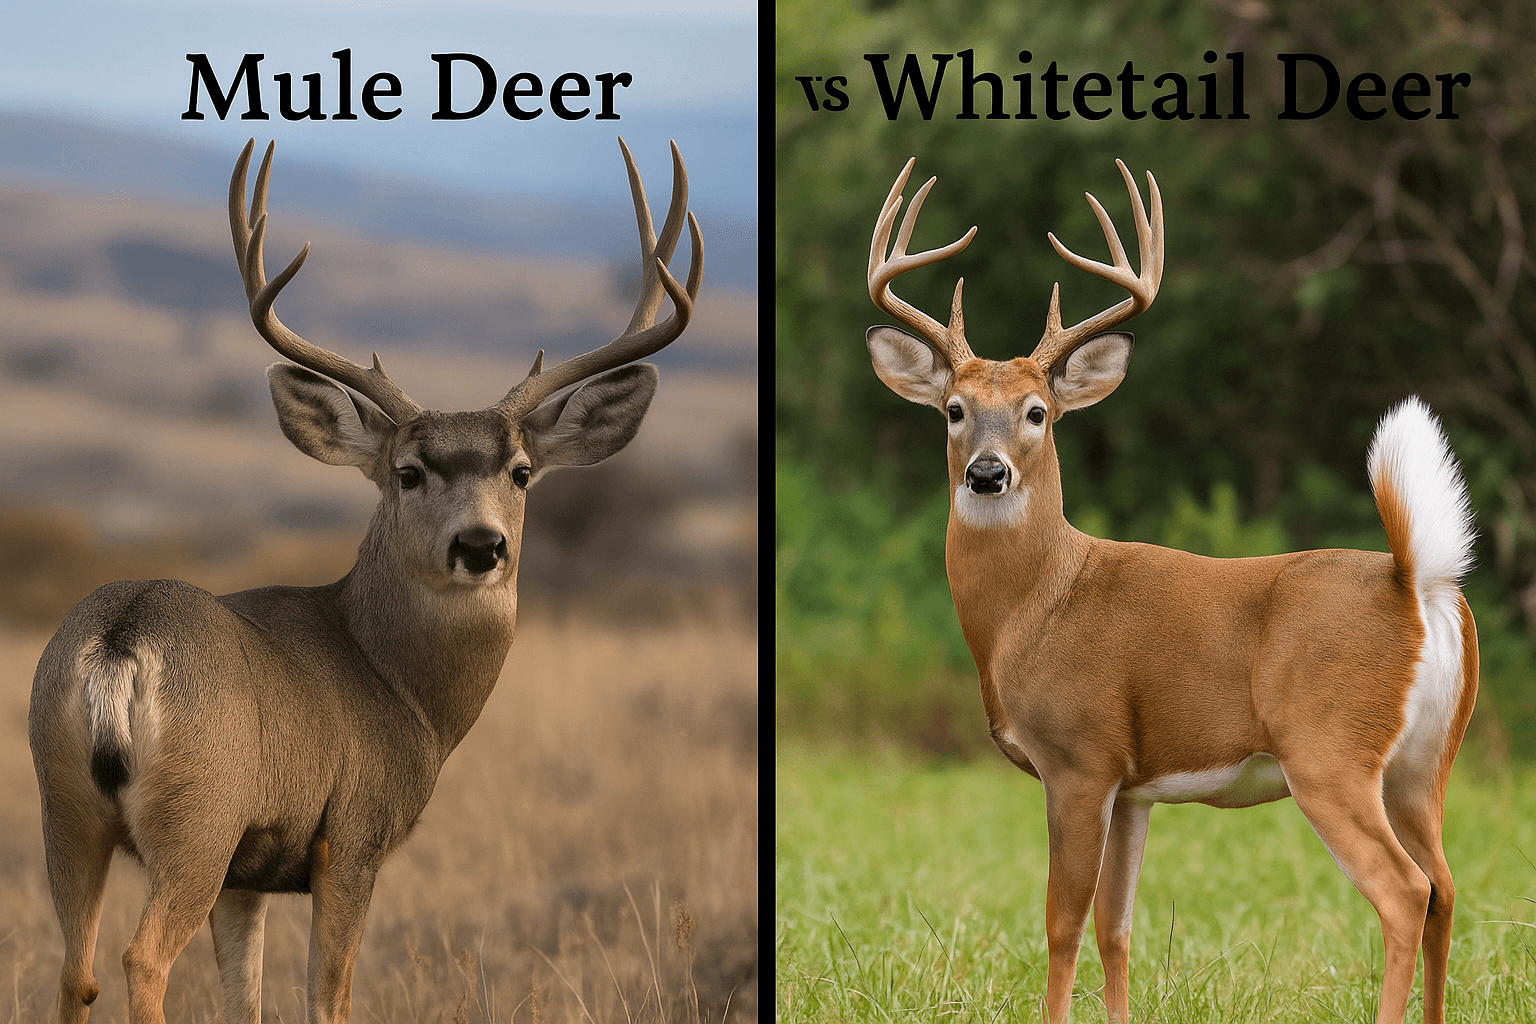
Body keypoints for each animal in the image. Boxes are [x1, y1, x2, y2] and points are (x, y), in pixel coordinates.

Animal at [29, 136, 702, 1024]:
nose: (481, 545)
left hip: (66, 807)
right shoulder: (351, 834)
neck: (397, 684)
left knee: (76, 969)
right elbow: (330, 994)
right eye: (408, 472)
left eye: (521, 472)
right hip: (197, 817)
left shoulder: (250, 871)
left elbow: (245, 998)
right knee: (141, 958)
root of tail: (120, 640)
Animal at [864, 157, 1478, 1024]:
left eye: (1037, 412)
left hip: (1329, 753)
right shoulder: (1134, 788)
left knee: (1404, 892)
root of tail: (1416, 583)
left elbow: (1061, 923)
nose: (987, 472)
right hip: (1423, 767)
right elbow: (1116, 929)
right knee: (1446, 892)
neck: (1035, 605)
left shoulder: (1080, 757)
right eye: (953, 409)